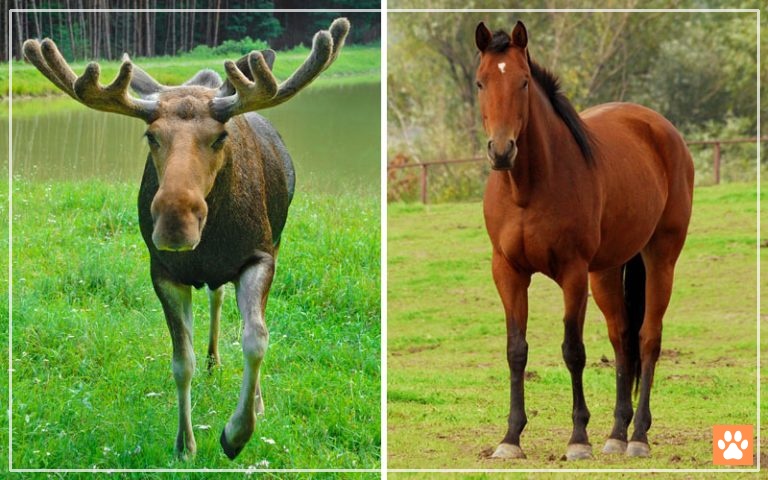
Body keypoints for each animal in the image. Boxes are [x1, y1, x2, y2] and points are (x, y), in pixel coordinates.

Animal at [22, 18, 349, 460]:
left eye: (220, 136)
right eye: (151, 136)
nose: (175, 222)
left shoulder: (260, 254)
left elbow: (256, 338)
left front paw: (237, 432)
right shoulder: (163, 271)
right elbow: (182, 362)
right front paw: (185, 444)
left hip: (277, 238)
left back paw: (254, 397)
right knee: (216, 296)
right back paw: (214, 362)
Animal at [474, 21, 693, 460]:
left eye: (524, 82)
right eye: (480, 82)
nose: (502, 151)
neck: (527, 187)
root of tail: (662, 130)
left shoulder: (572, 273)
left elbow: (573, 351)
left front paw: (578, 438)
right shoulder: (507, 271)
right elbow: (516, 350)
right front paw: (511, 438)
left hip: (661, 257)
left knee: (648, 339)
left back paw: (638, 436)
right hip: (607, 271)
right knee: (622, 338)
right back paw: (617, 433)